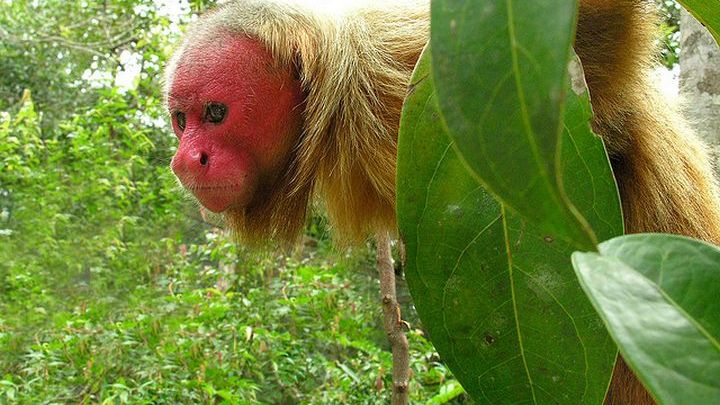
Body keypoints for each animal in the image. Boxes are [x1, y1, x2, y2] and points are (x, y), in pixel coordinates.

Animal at [164, 0, 720, 403]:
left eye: (215, 113)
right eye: (181, 120)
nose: (187, 160)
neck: (333, 109)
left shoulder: (408, 65)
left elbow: (605, 30)